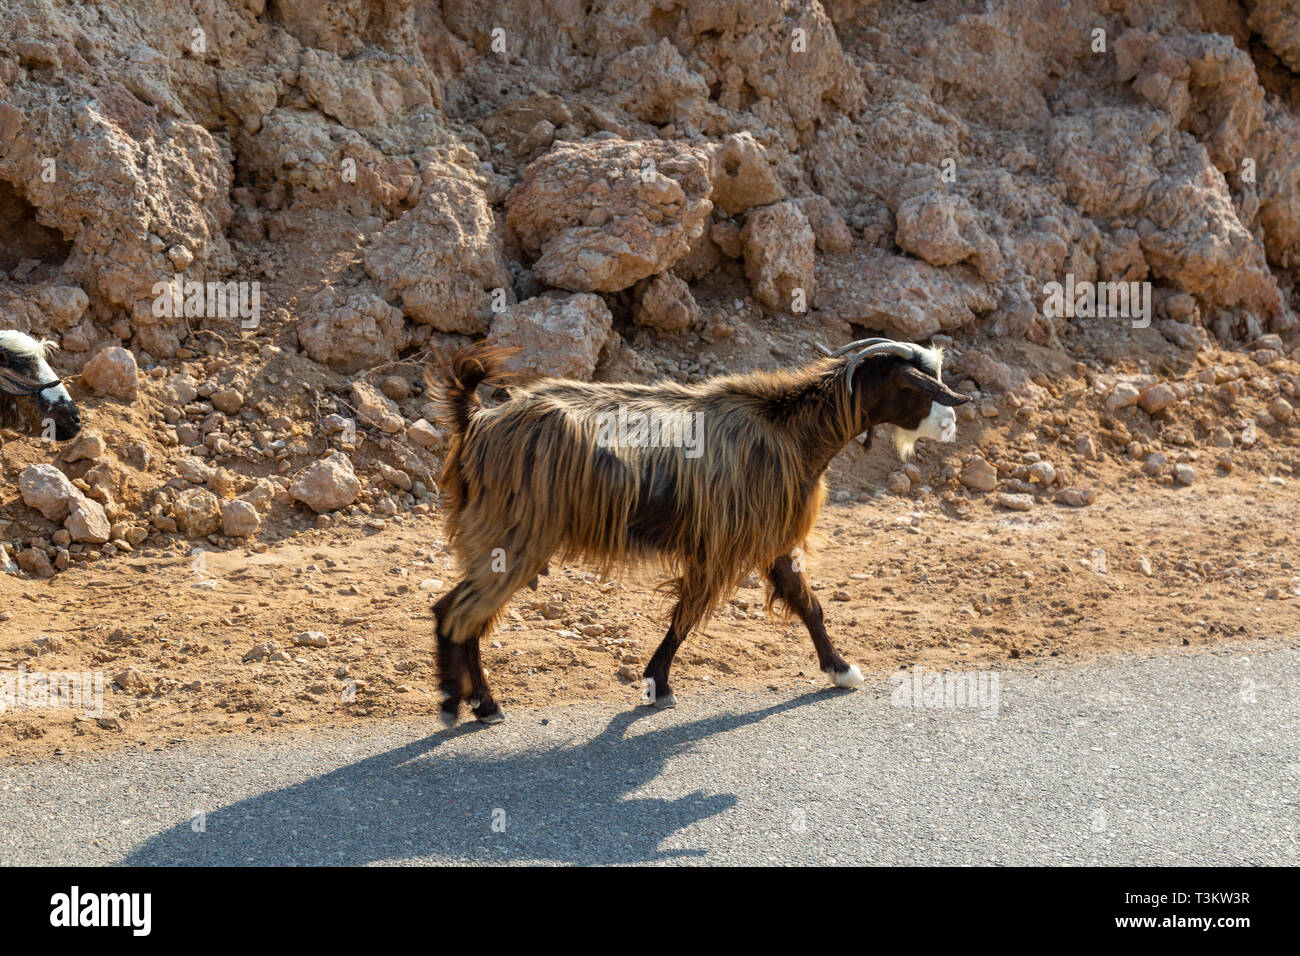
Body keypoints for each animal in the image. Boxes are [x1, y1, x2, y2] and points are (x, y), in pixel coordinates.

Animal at [429, 338, 970, 725]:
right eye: (916, 386)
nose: (951, 425)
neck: (788, 429)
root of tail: (479, 419)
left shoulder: (774, 542)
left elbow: (807, 604)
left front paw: (840, 669)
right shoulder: (720, 545)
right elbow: (686, 616)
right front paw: (658, 686)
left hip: (500, 535)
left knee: (456, 609)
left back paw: (469, 703)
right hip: (515, 533)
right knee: (461, 611)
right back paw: (469, 703)